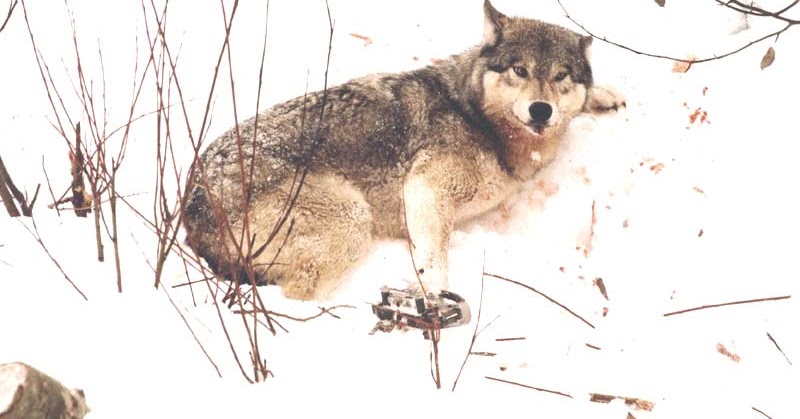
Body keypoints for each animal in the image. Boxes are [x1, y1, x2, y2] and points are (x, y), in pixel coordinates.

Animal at [182, 0, 624, 301]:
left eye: (561, 76)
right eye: (520, 70)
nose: (541, 109)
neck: (477, 117)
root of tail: (191, 205)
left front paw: (603, 96)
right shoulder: (425, 190)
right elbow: (435, 261)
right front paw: (434, 300)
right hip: (351, 217)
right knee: (297, 294)